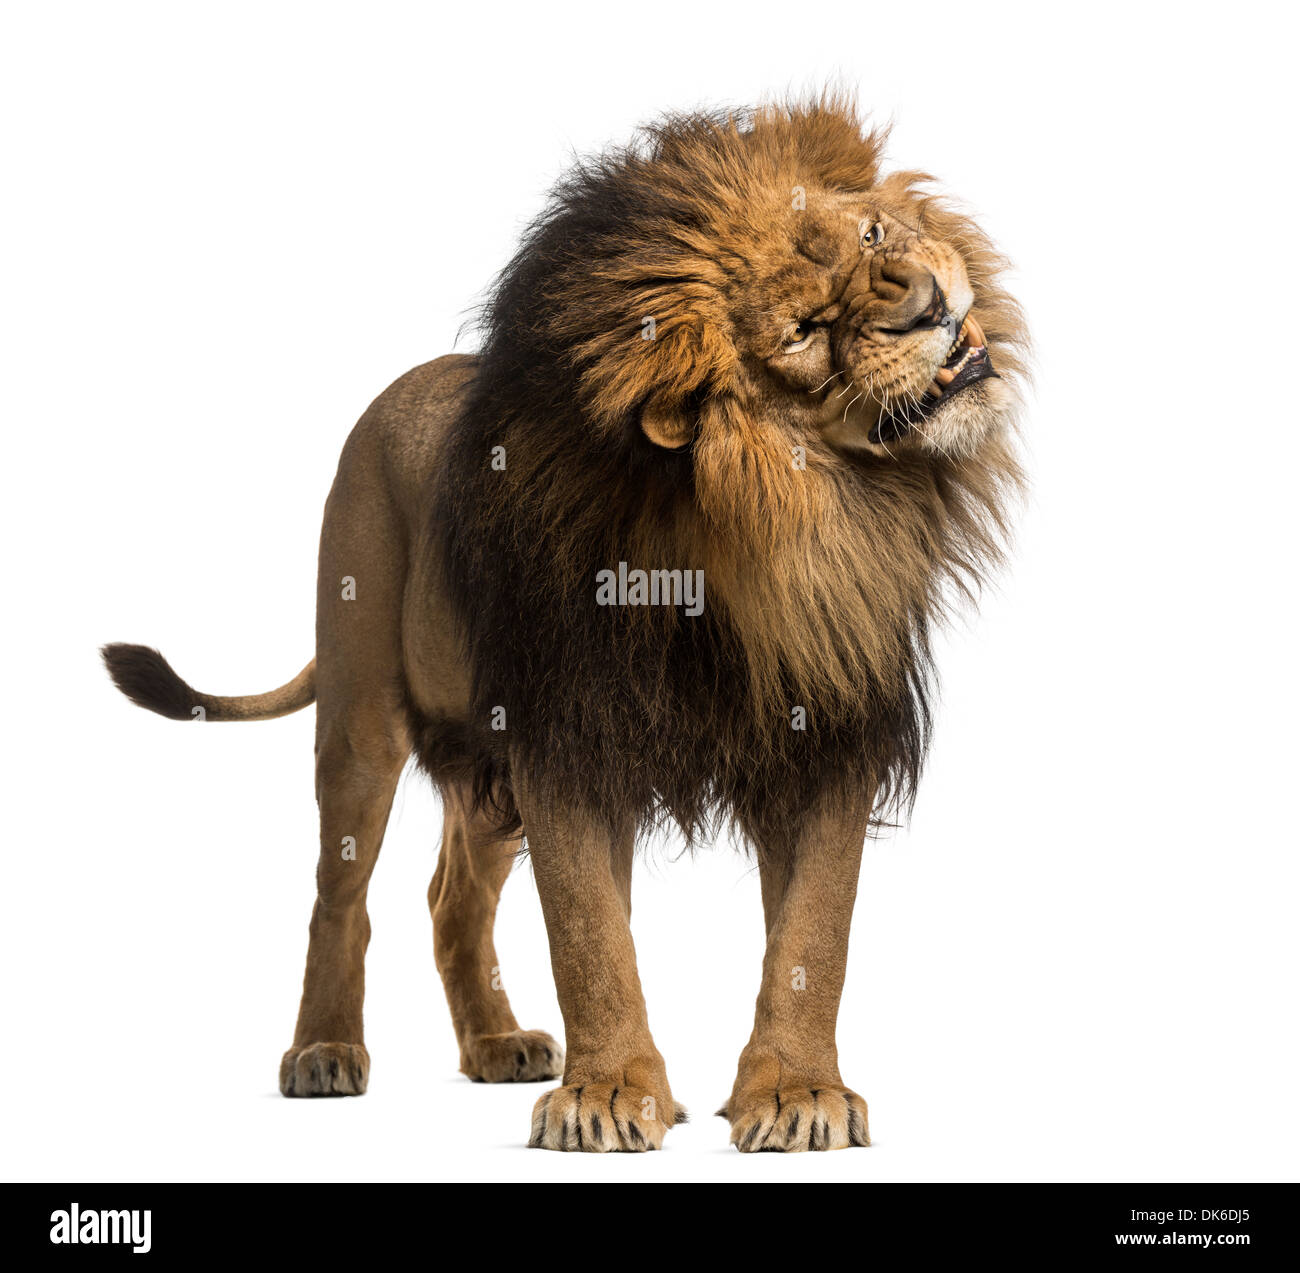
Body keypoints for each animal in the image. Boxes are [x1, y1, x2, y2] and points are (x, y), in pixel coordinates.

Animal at [103, 95, 1026, 1152]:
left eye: (875, 236)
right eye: (803, 330)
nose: (929, 299)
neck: (776, 525)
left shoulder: (824, 732)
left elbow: (812, 935)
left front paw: (797, 1092)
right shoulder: (568, 737)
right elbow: (589, 933)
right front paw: (611, 1092)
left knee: (452, 897)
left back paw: (497, 1044)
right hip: (362, 713)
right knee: (339, 894)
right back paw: (325, 1050)